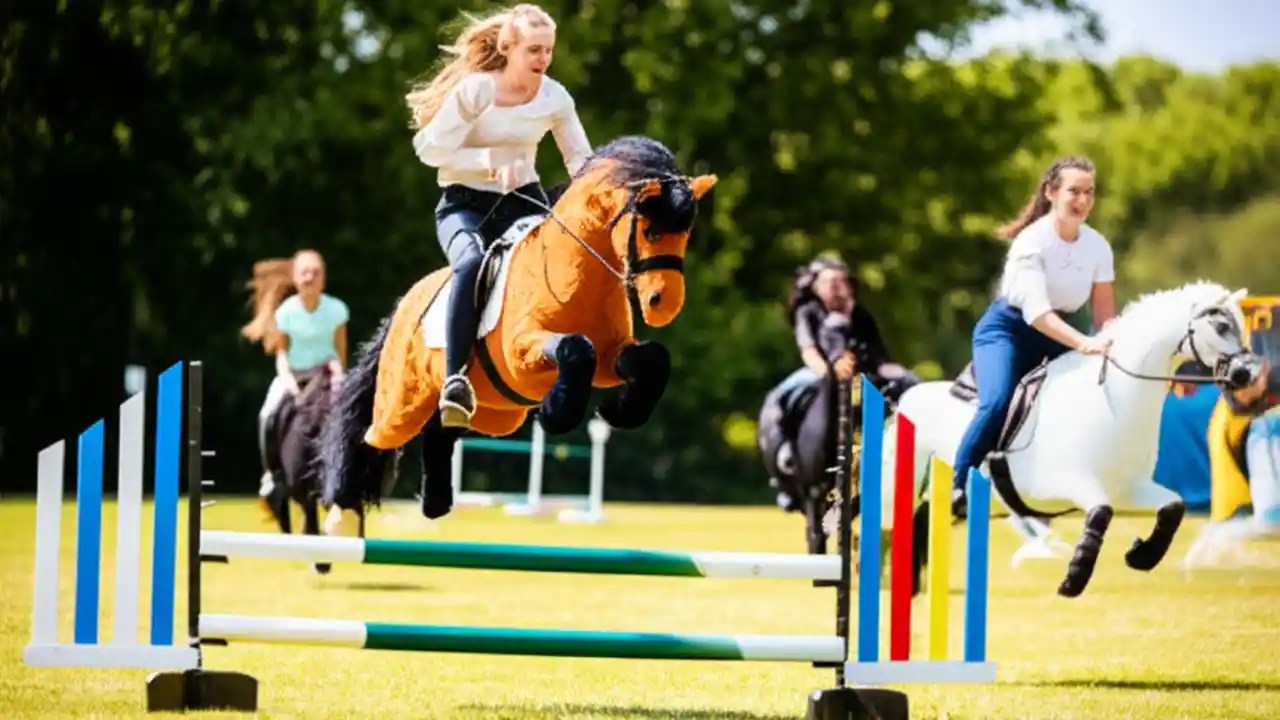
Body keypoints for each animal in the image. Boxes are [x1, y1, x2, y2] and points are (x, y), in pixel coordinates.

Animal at [319, 136, 716, 532]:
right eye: (652, 231)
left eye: (685, 235)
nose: (664, 305)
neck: (577, 271)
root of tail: (406, 302)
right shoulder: (521, 352)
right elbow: (576, 348)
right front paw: (556, 413)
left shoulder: (610, 356)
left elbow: (651, 357)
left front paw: (620, 412)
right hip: (401, 402)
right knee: (370, 437)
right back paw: (342, 514)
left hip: (493, 415)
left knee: (439, 431)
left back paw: (435, 502)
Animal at [879, 281, 1263, 598]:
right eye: (1220, 326)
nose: (1248, 374)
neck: (1114, 401)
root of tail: (905, 398)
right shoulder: (1061, 485)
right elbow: (1100, 514)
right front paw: (1073, 580)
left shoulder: (1130, 488)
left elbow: (1173, 507)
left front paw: (1141, 555)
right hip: (896, 490)